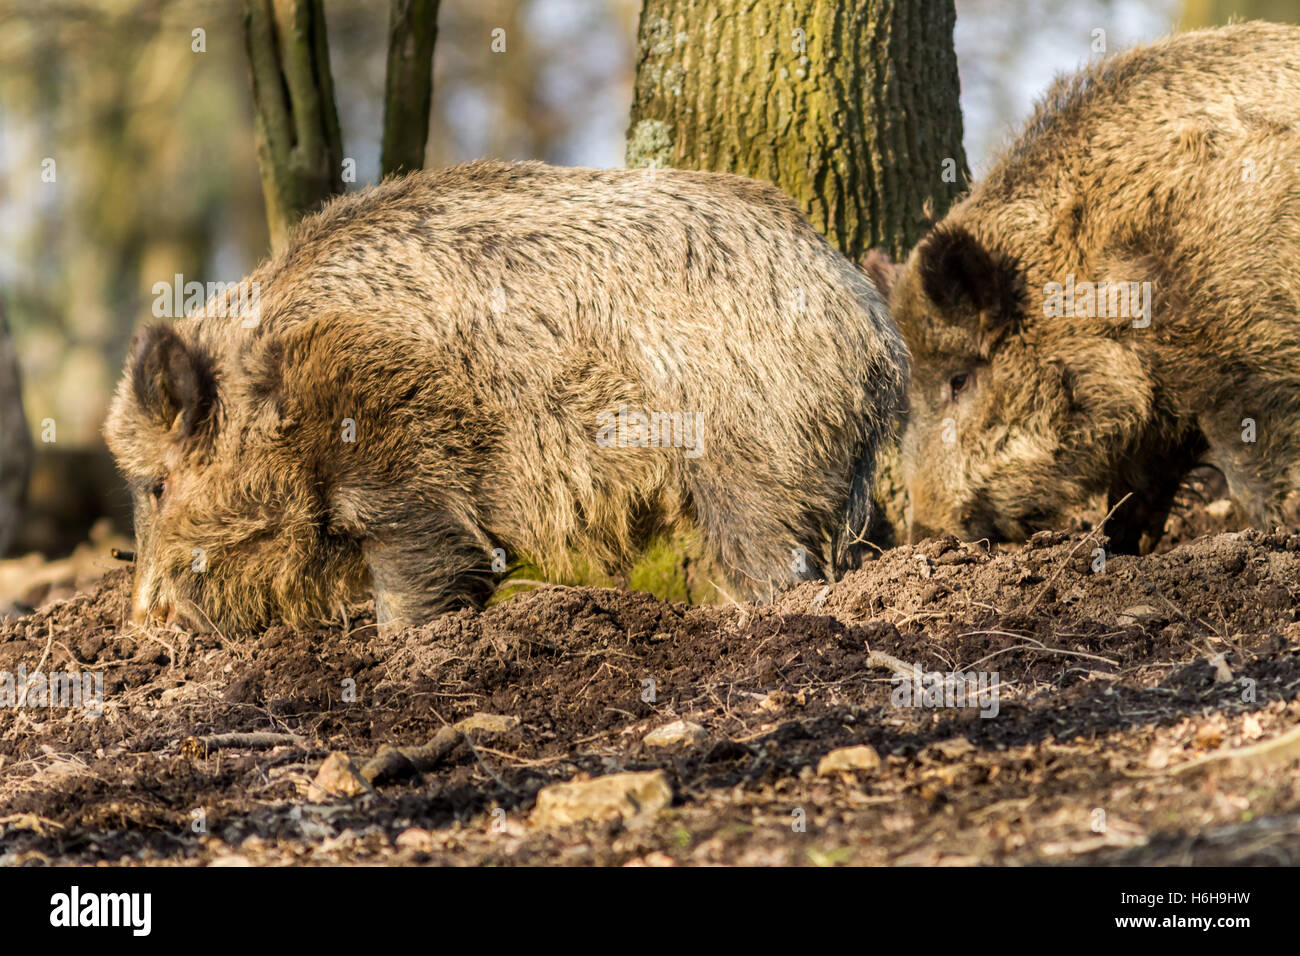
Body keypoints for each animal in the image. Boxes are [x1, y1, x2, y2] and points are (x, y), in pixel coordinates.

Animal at [105, 160, 908, 634]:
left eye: (157, 485)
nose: (144, 626)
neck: (276, 395)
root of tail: (868, 311)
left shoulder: (402, 459)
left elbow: (419, 565)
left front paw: (404, 646)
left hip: (754, 442)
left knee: (772, 547)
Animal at [872, 22, 1300, 554]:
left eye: (959, 380)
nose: (923, 534)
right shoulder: (1159, 420)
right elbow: (1133, 497)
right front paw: (1117, 550)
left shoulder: (1248, 374)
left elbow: (1251, 478)